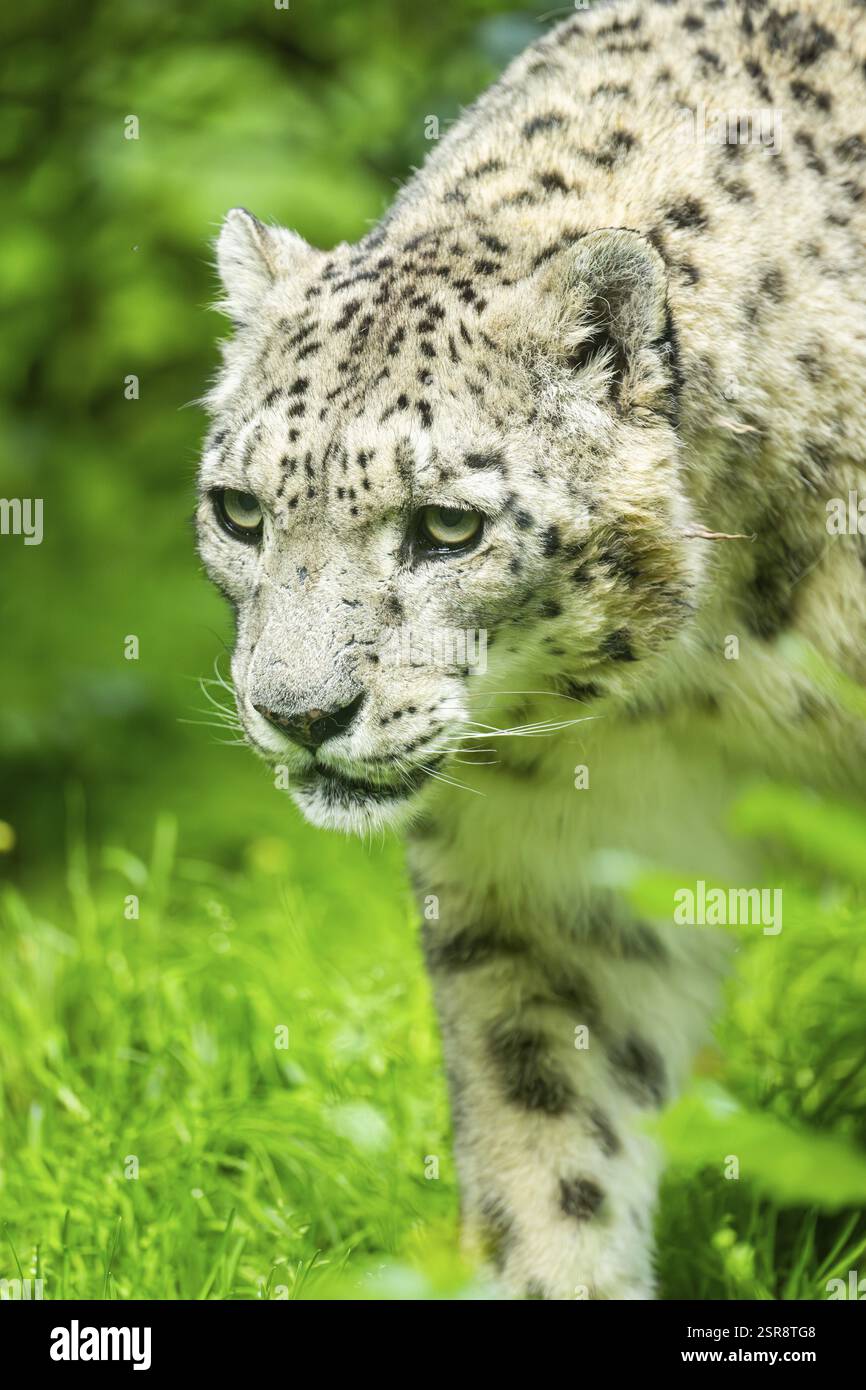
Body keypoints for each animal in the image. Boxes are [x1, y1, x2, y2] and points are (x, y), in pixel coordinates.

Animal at [196, 0, 866, 1299]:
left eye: (446, 526)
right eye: (239, 510)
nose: (298, 713)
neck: (714, 669)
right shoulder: (549, 866)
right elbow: (551, 1132)